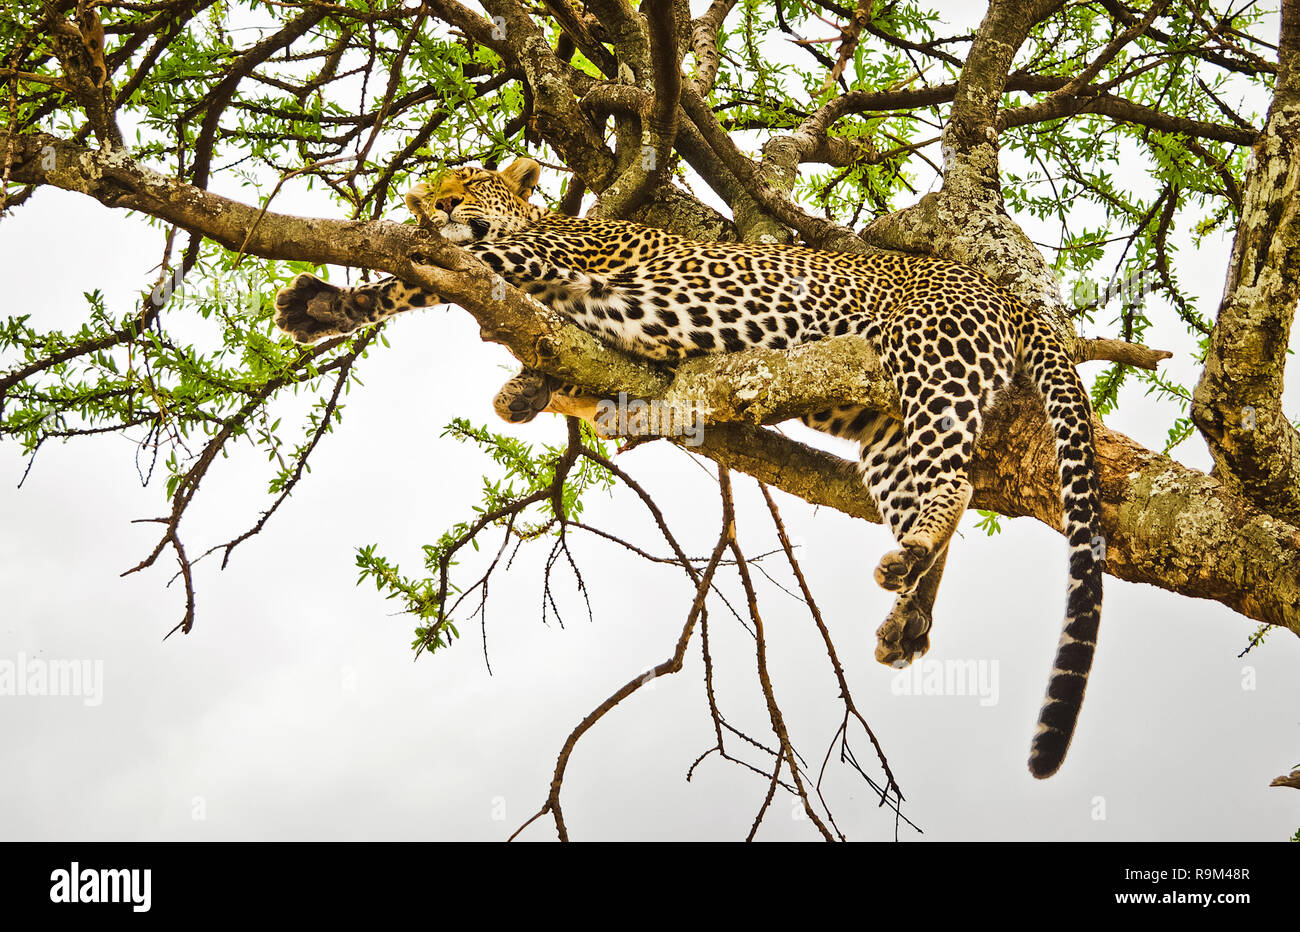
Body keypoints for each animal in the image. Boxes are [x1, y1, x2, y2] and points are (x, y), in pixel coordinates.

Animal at [273, 157, 1104, 779]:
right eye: (428, 190)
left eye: (470, 181)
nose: (435, 204)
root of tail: (996, 289)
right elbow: (548, 369)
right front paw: (522, 392)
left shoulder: (528, 258)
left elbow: (410, 273)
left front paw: (323, 305)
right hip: (883, 427)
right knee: (936, 494)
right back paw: (908, 607)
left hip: (931, 365)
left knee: (954, 481)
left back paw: (913, 568)